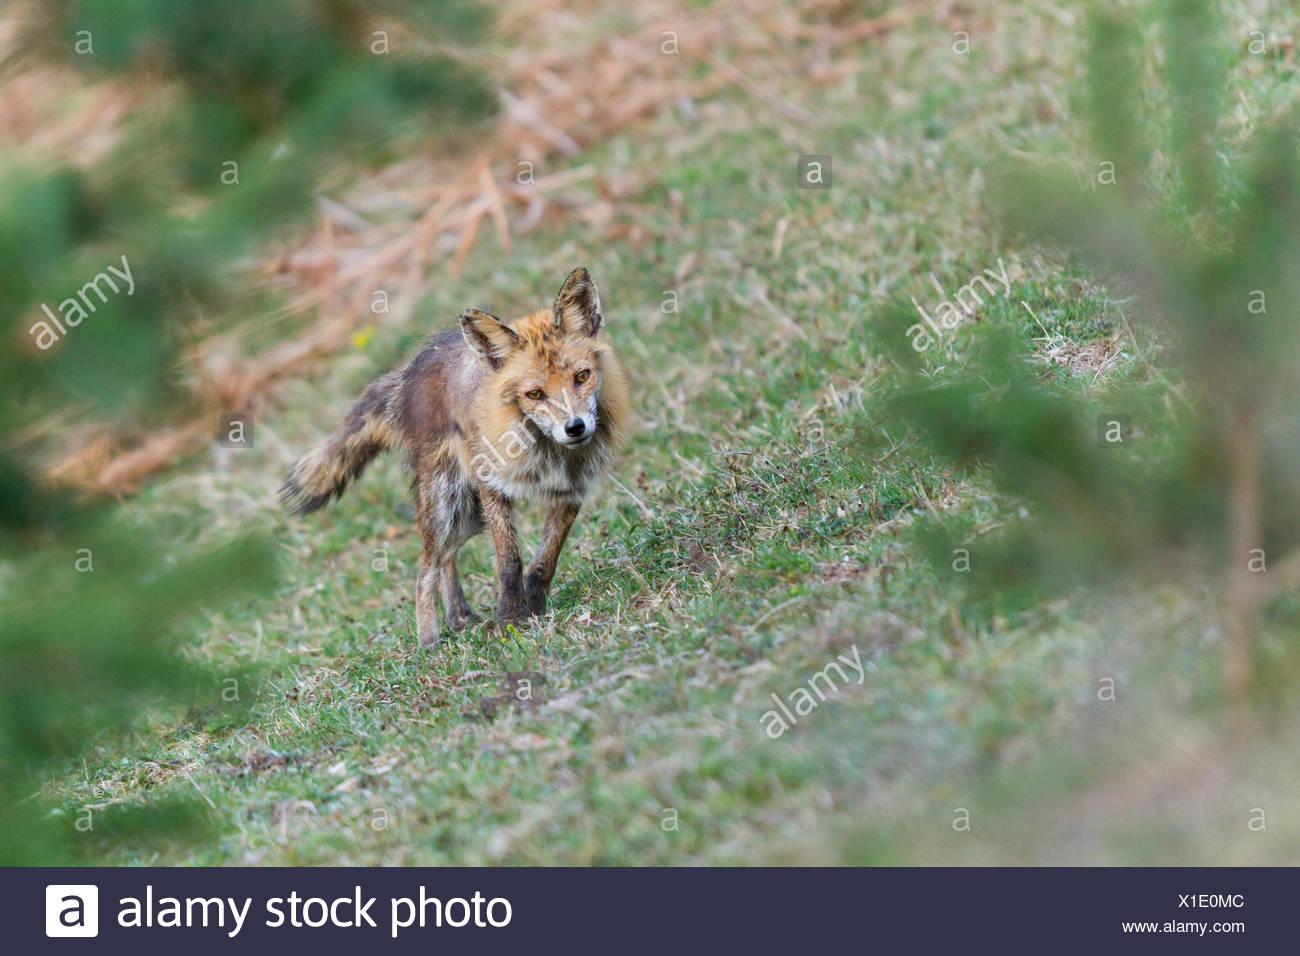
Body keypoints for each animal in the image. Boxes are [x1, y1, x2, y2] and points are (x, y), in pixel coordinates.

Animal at [278, 267, 629, 646]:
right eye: (535, 394)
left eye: (582, 376)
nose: (574, 427)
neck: (547, 452)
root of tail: (412, 369)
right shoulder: (494, 488)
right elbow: (509, 564)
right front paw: (509, 623)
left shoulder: (570, 493)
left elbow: (542, 565)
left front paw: (535, 613)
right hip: (447, 503)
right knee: (426, 569)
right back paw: (428, 644)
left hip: (470, 516)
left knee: (447, 556)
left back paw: (459, 617)